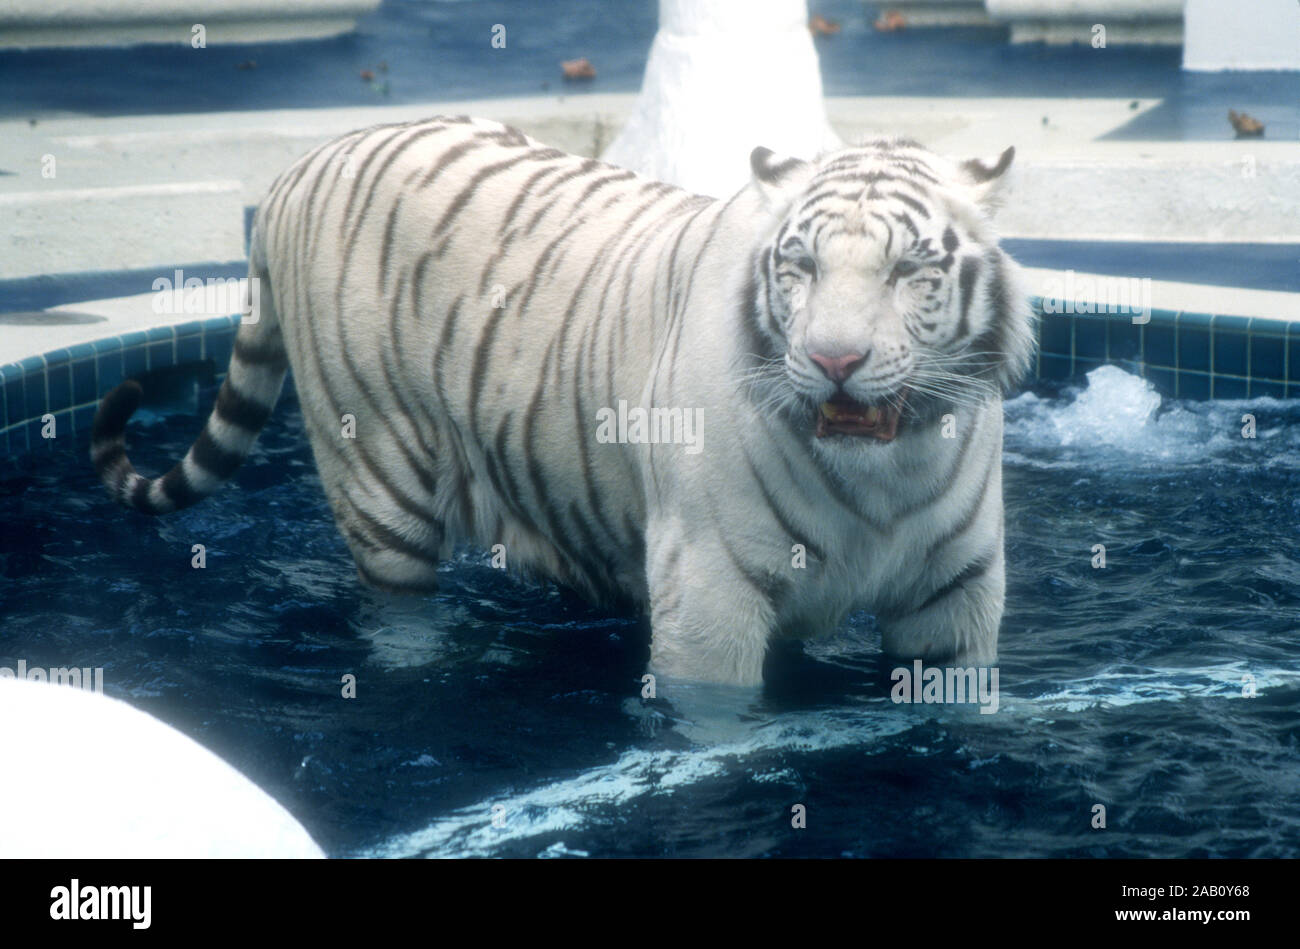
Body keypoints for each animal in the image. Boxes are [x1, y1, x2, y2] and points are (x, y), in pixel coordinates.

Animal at [91, 114, 1035, 688]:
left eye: (910, 268)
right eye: (799, 267)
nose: (834, 360)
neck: (885, 470)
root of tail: (303, 164)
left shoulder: (954, 594)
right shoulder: (711, 594)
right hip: (377, 476)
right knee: (397, 607)